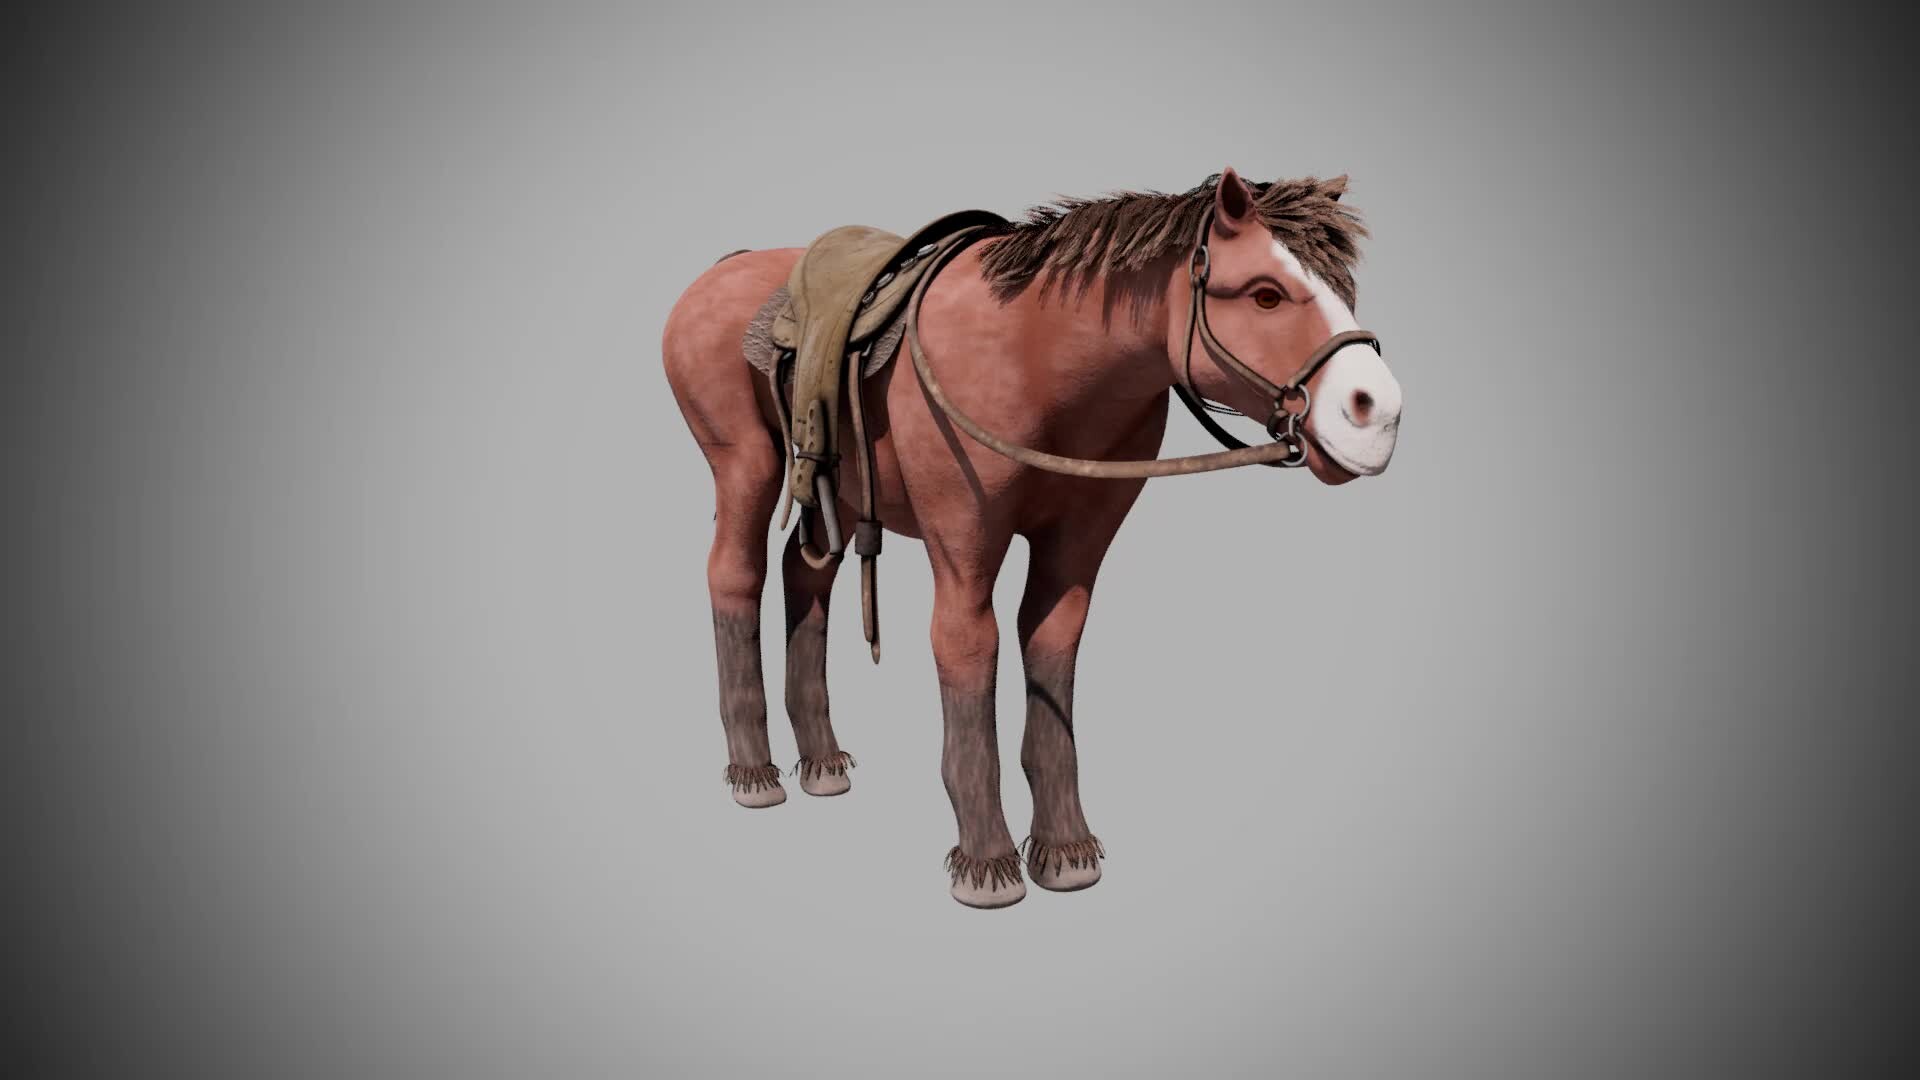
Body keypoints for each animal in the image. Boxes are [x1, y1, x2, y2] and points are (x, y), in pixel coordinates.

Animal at [661, 167, 1403, 908]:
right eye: (1266, 293)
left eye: (1344, 288)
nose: (1380, 414)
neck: (1033, 354)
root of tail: (719, 272)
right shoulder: (963, 549)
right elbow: (969, 650)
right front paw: (986, 862)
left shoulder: (1076, 545)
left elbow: (1050, 648)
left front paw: (1064, 849)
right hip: (746, 466)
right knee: (735, 574)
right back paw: (755, 773)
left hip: (830, 487)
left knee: (805, 573)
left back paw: (820, 762)